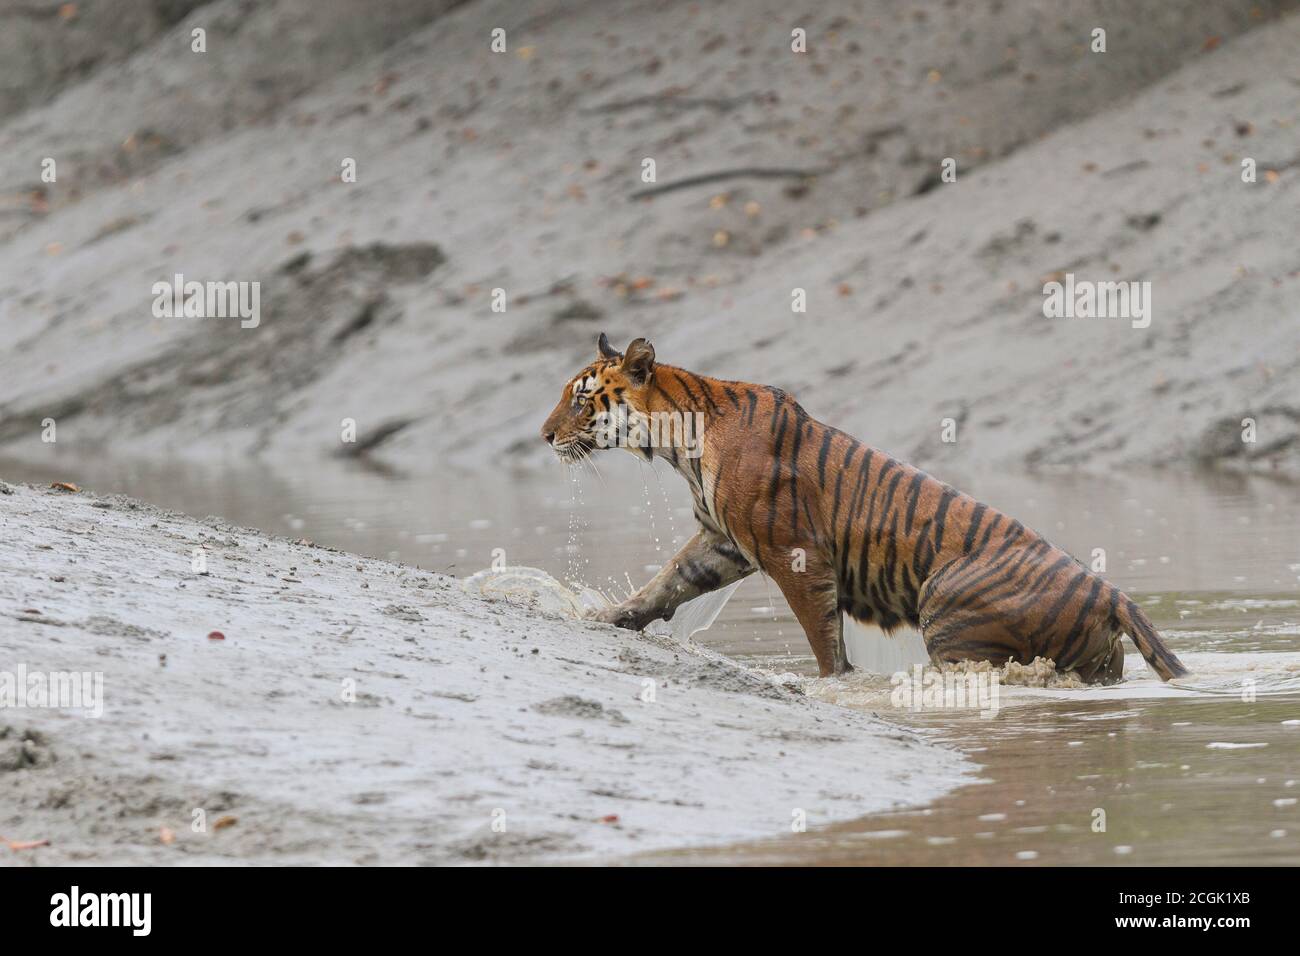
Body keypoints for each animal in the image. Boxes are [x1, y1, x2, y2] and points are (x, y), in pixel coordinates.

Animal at [540, 333, 1189, 685]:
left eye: (580, 398)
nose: (544, 436)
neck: (680, 444)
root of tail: (1109, 590)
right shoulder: (720, 543)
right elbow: (663, 586)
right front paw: (605, 619)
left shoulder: (796, 556)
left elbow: (825, 640)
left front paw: (836, 684)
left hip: (945, 608)